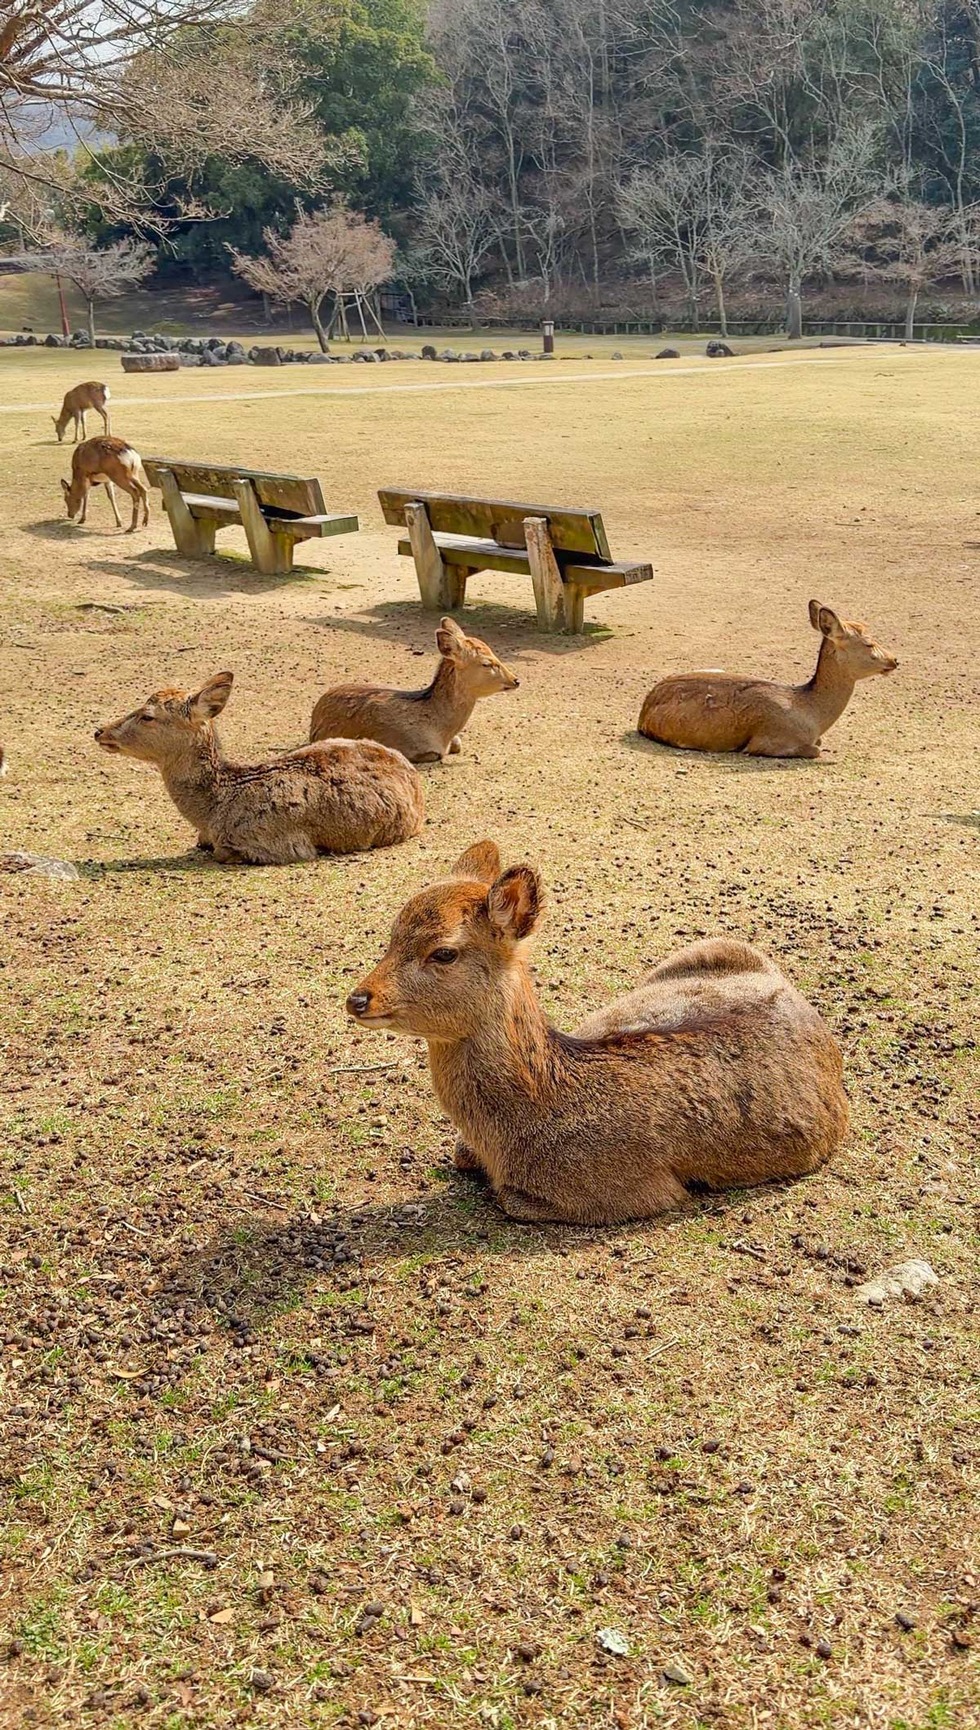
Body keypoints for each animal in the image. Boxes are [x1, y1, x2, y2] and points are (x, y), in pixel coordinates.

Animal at [346, 841, 849, 1225]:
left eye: (444, 952)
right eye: (391, 934)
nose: (358, 998)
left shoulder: (640, 1189)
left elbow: (508, 1198)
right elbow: (459, 1152)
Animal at [638, 602, 898, 759]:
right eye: (869, 644)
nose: (895, 660)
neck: (812, 716)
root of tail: (643, 712)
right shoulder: (766, 741)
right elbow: (816, 749)